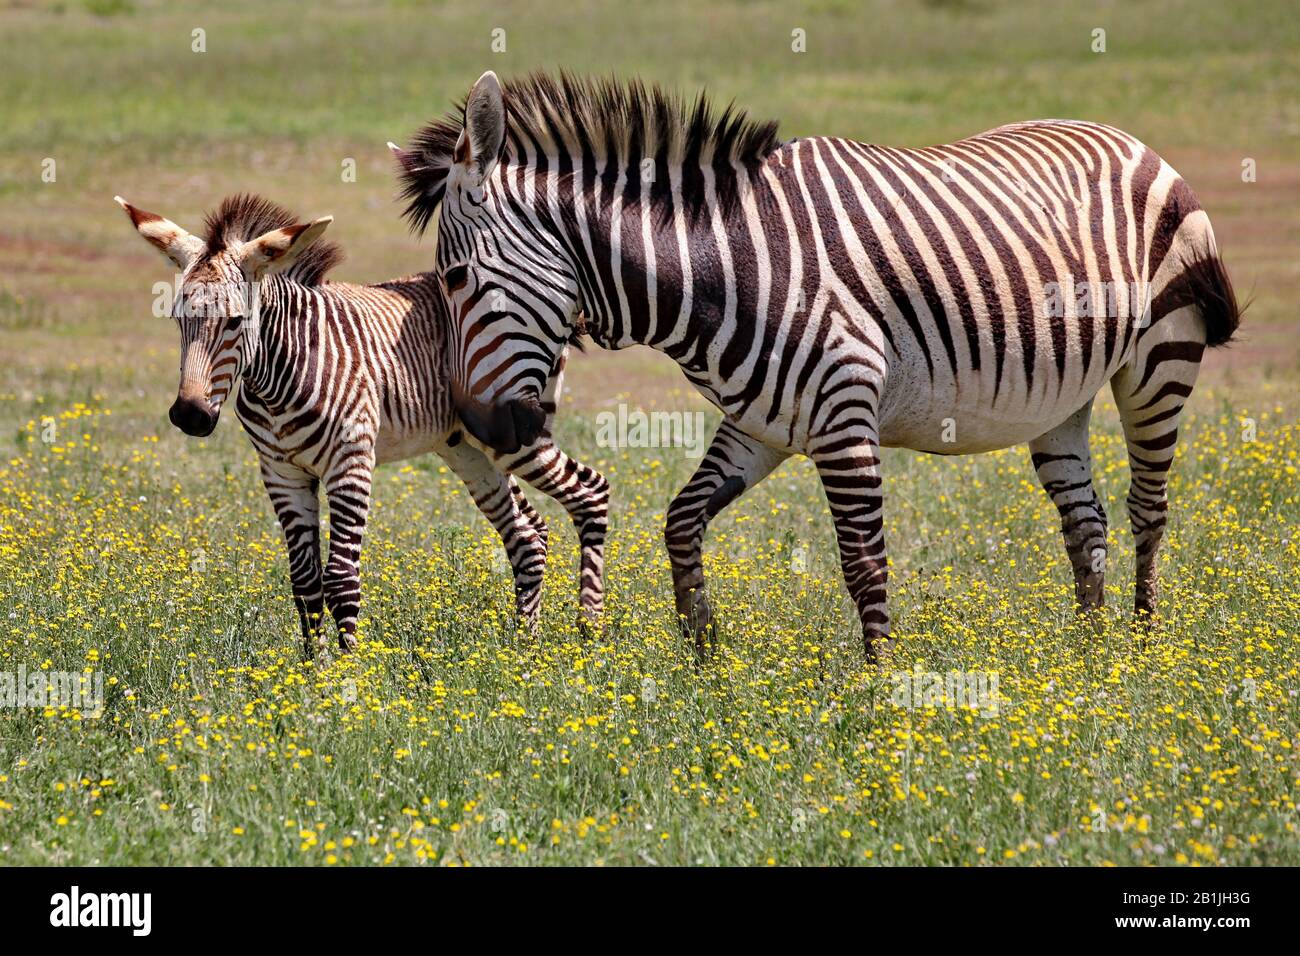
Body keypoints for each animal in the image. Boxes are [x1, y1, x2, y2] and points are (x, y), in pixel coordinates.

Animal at [115, 192, 609, 655]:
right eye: (177, 318)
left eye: (236, 321)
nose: (190, 415)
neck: (280, 373)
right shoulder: (281, 472)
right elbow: (304, 581)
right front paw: (311, 672)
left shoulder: (349, 463)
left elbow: (340, 578)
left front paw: (350, 673)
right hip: (468, 444)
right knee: (527, 535)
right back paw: (525, 648)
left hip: (517, 433)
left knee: (591, 491)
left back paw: (588, 635)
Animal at [398, 71, 1242, 662]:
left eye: (457, 280)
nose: (478, 424)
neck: (723, 268)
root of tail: (1134, 141)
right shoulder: (764, 423)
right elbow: (681, 521)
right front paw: (704, 659)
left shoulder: (843, 417)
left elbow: (864, 564)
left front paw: (878, 695)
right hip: (1061, 401)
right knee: (1085, 522)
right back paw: (1088, 658)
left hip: (1160, 358)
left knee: (1147, 509)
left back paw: (1140, 649)